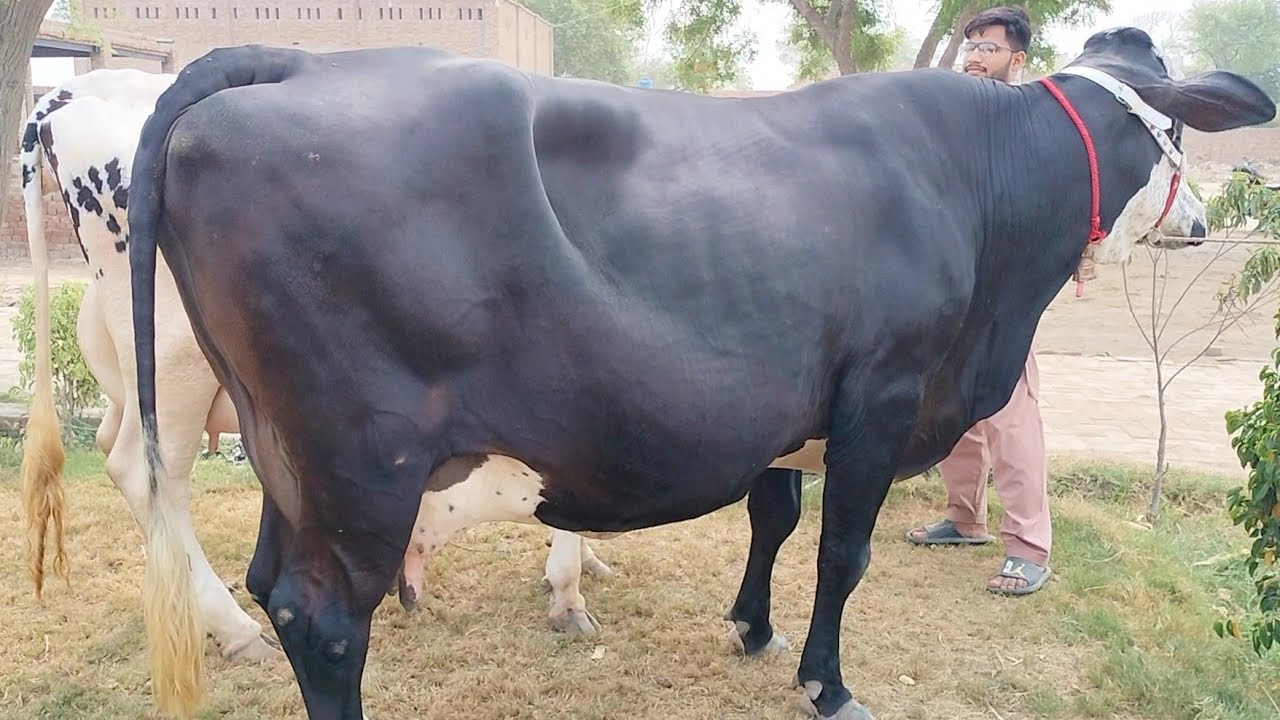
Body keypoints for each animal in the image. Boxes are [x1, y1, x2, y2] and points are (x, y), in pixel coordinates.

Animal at [124, 28, 1273, 720]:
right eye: (1174, 128)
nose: (1204, 221)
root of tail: (292, 60)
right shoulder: (882, 394)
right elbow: (841, 555)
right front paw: (825, 681)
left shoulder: (789, 404)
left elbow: (774, 516)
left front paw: (751, 628)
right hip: (362, 459)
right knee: (323, 618)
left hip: (287, 457)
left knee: (271, 585)